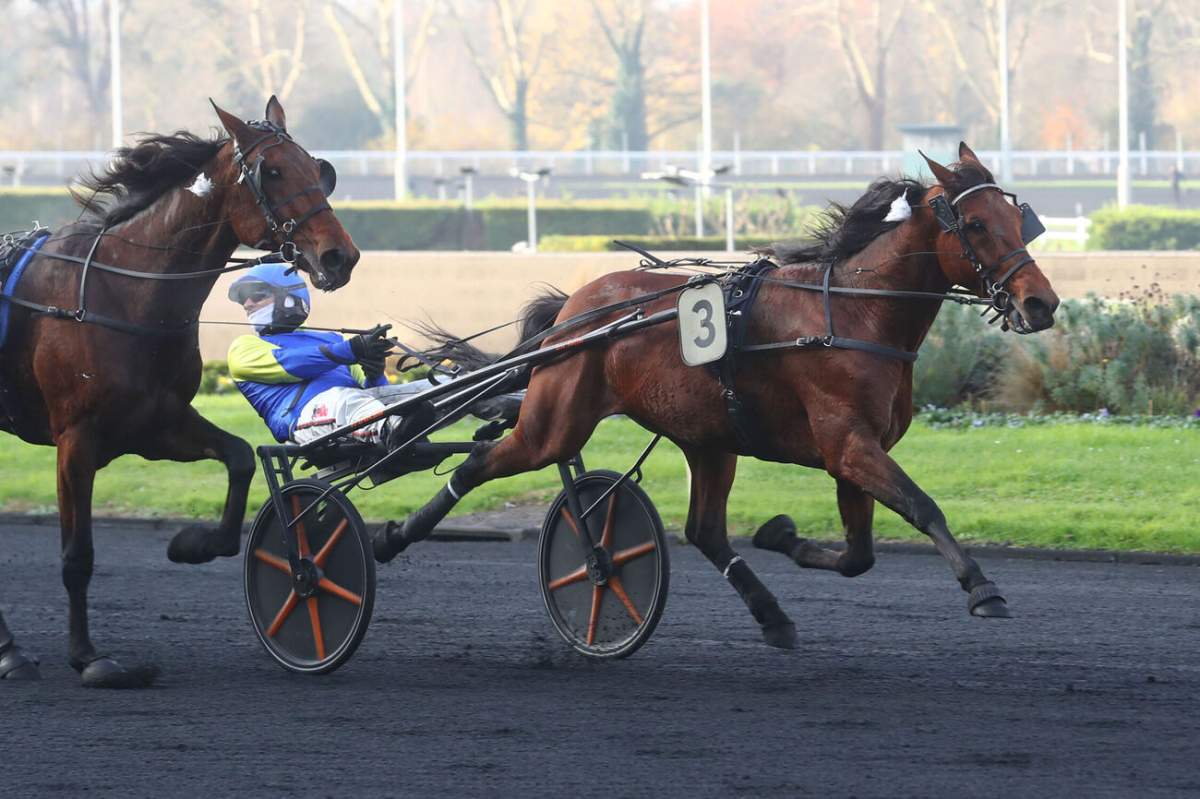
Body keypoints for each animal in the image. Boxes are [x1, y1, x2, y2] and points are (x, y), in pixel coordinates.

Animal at [0, 97, 360, 687]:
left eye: (317, 168)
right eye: (273, 171)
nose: (339, 256)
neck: (122, 290)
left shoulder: (156, 424)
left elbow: (239, 458)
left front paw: (192, 544)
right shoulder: (76, 440)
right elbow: (77, 556)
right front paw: (89, 656)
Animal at [375, 142, 1060, 649]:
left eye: (1018, 219)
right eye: (976, 224)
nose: (1041, 303)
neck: (855, 311)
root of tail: (575, 308)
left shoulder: (852, 453)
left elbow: (859, 556)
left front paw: (782, 535)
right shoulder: (848, 443)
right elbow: (923, 507)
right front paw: (982, 588)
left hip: (709, 437)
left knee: (705, 530)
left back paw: (771, 614)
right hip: (555, 424)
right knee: (478, 462)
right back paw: (393, 536)